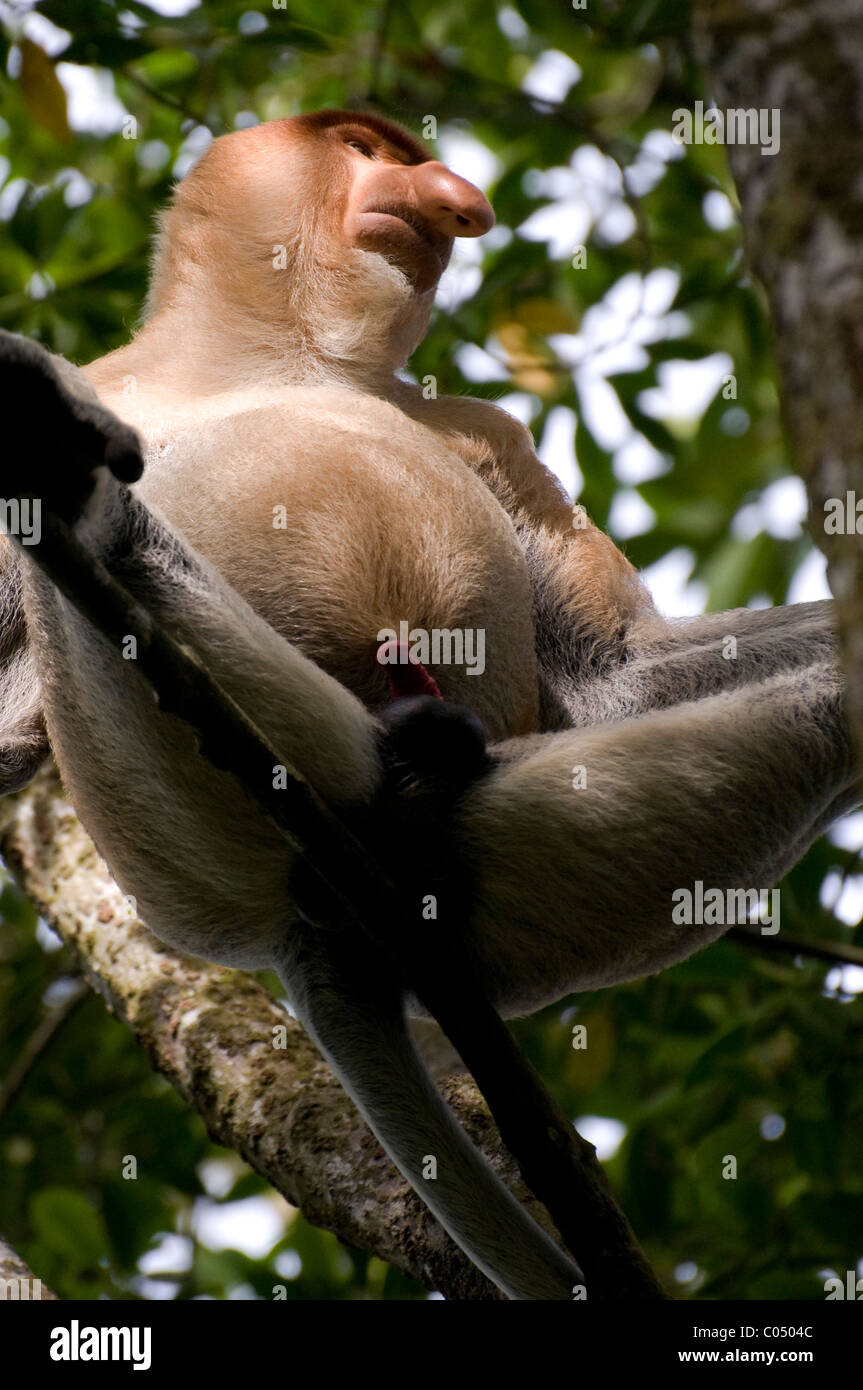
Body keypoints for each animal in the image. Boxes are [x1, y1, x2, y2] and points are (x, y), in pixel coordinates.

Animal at [0, 109, 858, 1299]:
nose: (455, 200)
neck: (277, 357)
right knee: (95, 562)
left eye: (408, 159)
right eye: (369, 149)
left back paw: (419, 770)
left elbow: (613, 677)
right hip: (182, 839)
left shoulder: (479, 428)